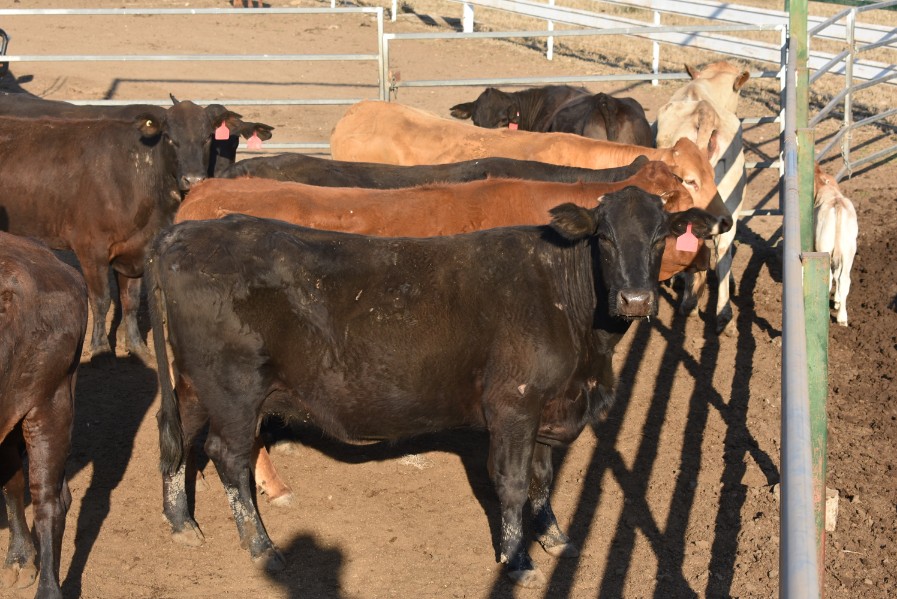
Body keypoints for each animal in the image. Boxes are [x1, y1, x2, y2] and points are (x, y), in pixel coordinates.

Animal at [0, 105, 242, 362]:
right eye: (169, 137)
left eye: (207, 137)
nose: (193, 179)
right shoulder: (91, 249)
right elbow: (101, 300)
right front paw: (100, 347)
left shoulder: (136, 251)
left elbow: (131, 301)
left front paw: (136, 345)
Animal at [147, 188, 722, 588]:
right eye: (603, 237)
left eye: (660, 236)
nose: (635, 299)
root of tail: (184, 232)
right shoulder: (513, 405)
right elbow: (513, 484)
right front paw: (517, 560)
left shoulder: (549, 412)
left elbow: (543, 480)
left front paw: (555, 538)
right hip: (234, 391)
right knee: (228, 456)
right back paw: (261, 545)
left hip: (196, 387)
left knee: (175, 438)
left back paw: (181, 523)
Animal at [814, 164, 858, 326]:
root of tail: (837, 205)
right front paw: (838, 301)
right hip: (849, 250)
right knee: (844, 279)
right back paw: (842, 318)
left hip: (825, 249)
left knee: (828, 280)